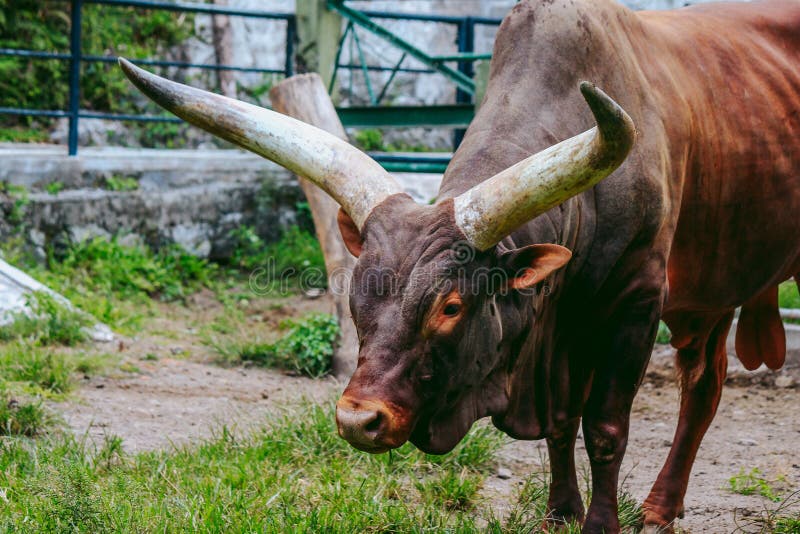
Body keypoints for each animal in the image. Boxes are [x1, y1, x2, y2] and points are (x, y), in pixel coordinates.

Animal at [119, 0, 800, 530]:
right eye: (357, 298)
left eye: (451, 306)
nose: (357, 420)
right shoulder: (557, 334)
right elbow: (561, 425)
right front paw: (560, 513)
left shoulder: (633, 304)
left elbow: (605, 429)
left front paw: (600, 524)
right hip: (714, 290)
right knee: (706, 384)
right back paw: (666, 506)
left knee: (696, 392)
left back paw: (656, 509)